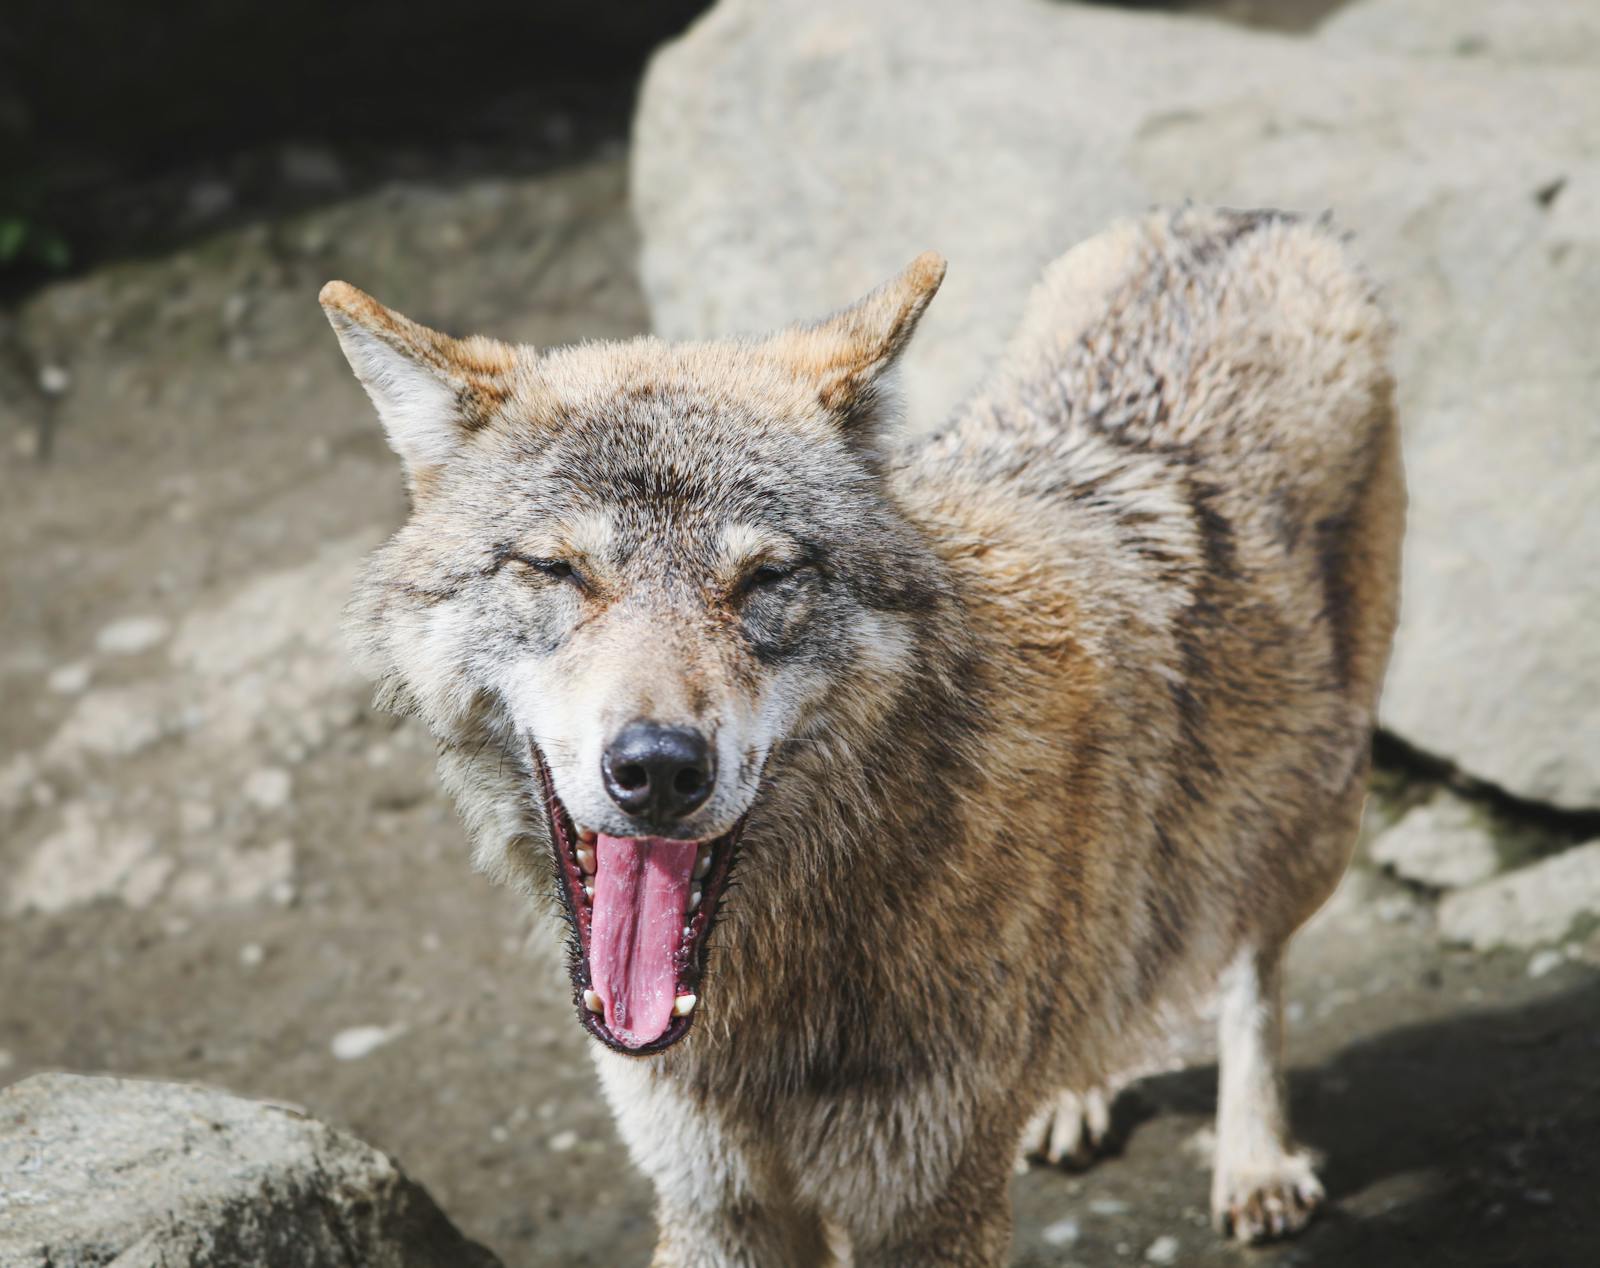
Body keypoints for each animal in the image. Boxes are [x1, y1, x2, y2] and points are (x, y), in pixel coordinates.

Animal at [320, 206, 1403, 1265]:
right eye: (558, 569)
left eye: (766, 577)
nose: (659, 768)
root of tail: (1246, 217)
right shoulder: (715, 1202)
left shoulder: (930, 1205)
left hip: (1308, 820)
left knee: (1249, 961)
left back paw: (1254, 1158)